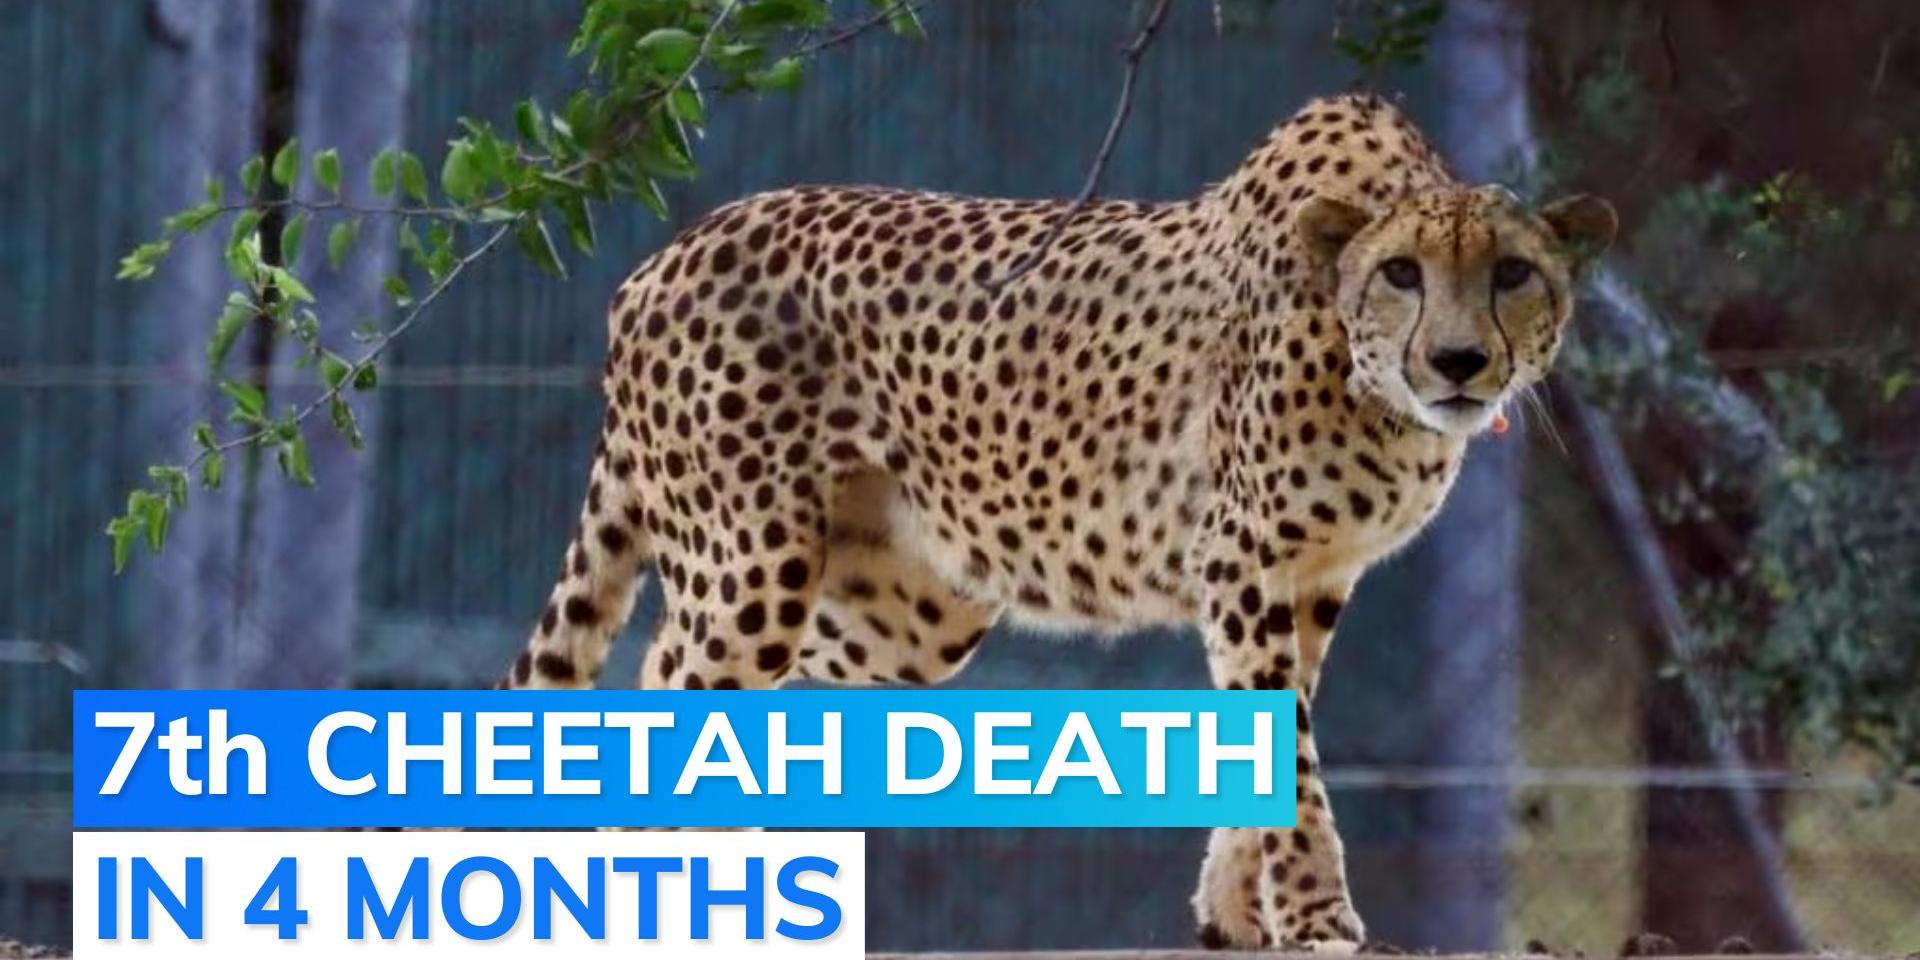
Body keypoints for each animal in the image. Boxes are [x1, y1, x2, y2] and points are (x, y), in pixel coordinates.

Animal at [496, 91, 1616, 951]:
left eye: (1514, 273)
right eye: (1402, 274)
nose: (1460, 362)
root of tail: (661, 259)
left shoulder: (1312, 578)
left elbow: (1269, 729)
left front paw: (1230, 914)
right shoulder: (1243, 556)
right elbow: (1286, 749)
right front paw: (1317, 917)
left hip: (902, 613)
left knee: (674, 677)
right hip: (755, 571)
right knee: (675, 689)